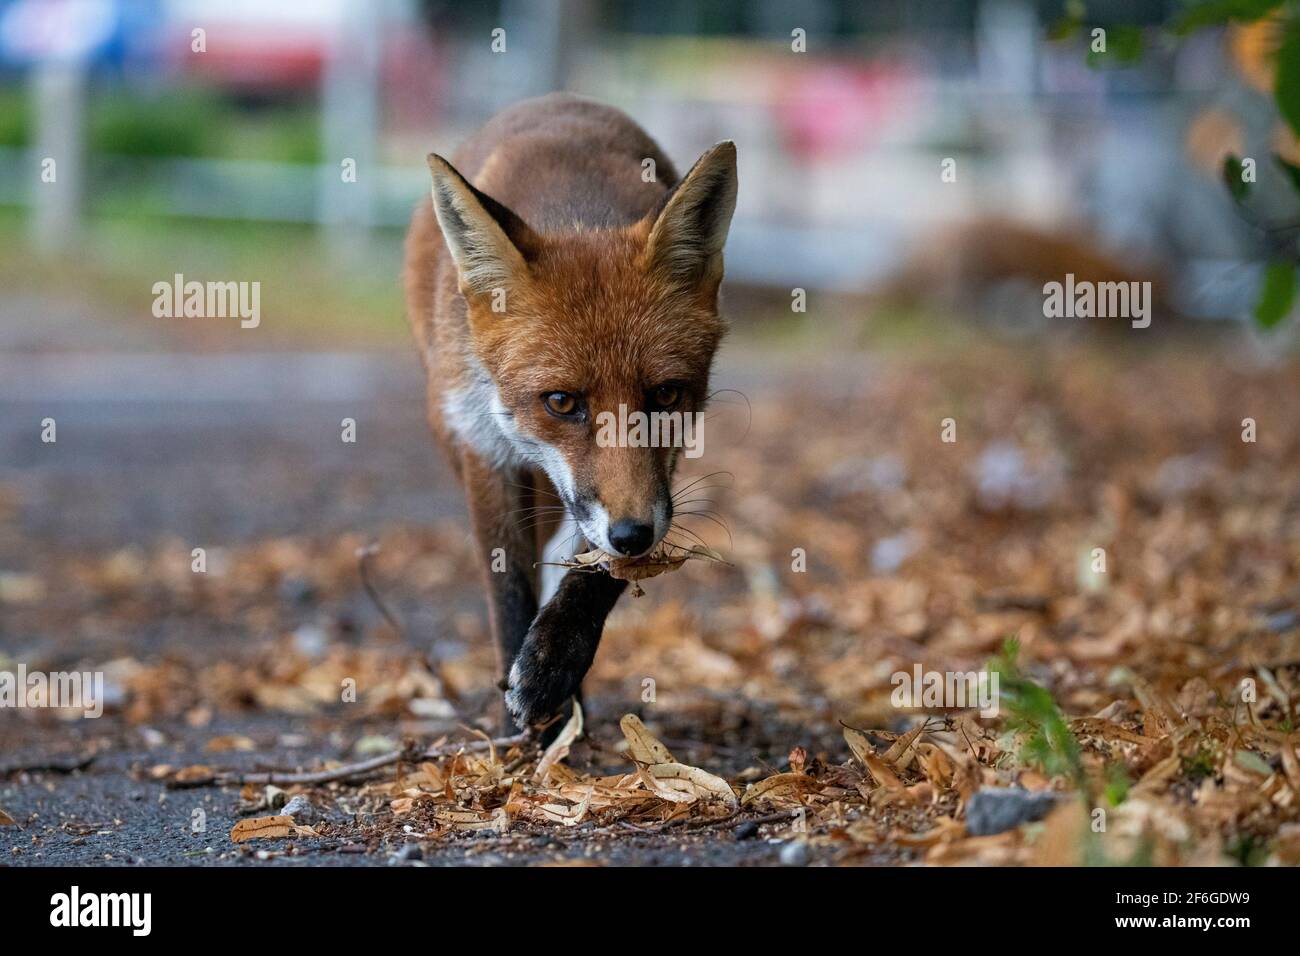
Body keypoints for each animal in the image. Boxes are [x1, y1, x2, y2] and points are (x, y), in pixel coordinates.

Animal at [403, 94, 737, 735]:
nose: (632, 535)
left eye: (665, 395)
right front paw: (524, 725)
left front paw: (553, 664)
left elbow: (592, 575)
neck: (575, 211)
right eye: (561, 403)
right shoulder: (484, 448)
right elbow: (508, 591)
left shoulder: (663, 465)